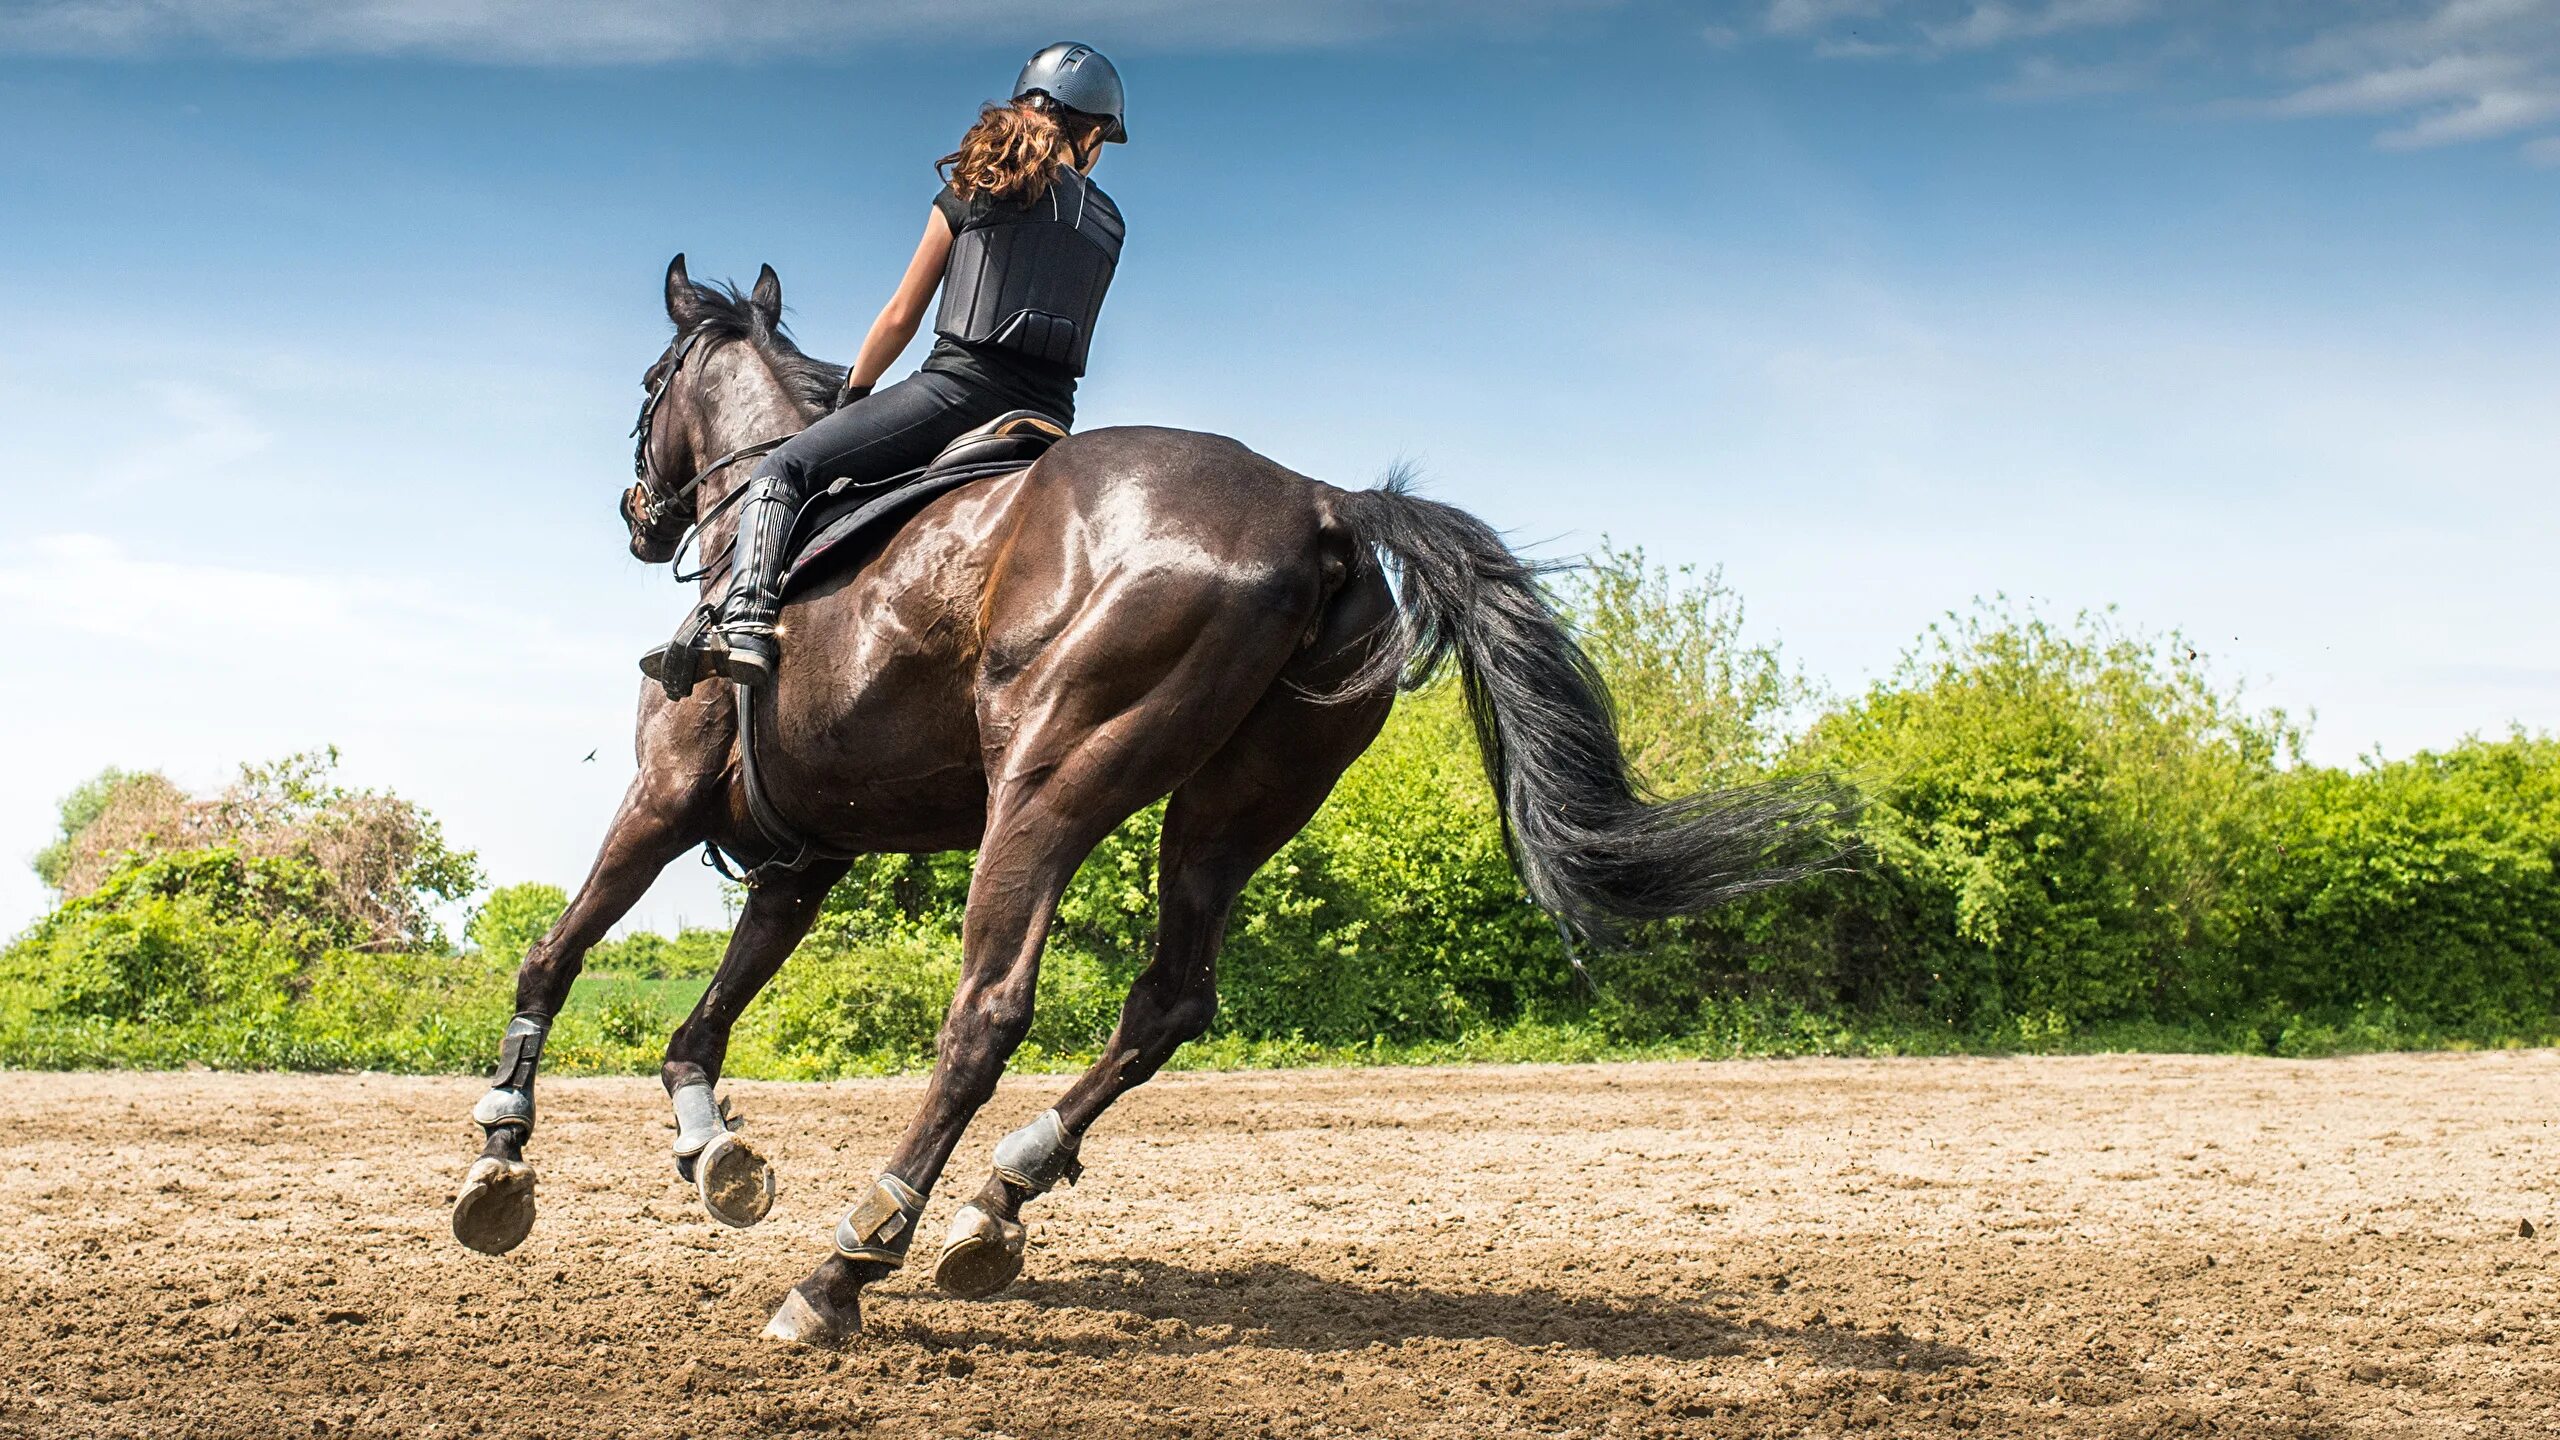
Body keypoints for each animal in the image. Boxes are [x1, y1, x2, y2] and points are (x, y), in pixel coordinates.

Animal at [450, 252, 1832, 1342]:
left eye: (648, 383)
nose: (638, 514)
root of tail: (1322, 506)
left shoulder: (666, 797)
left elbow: (553, 956)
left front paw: (501, 1157)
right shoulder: (805, 858)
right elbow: (704, 1022)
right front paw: (713, 1149)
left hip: (1050, 785)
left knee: (987, 1014)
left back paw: (849, 1265)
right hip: (1235, 808)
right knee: (1168, 1000)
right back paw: (996, 1203)